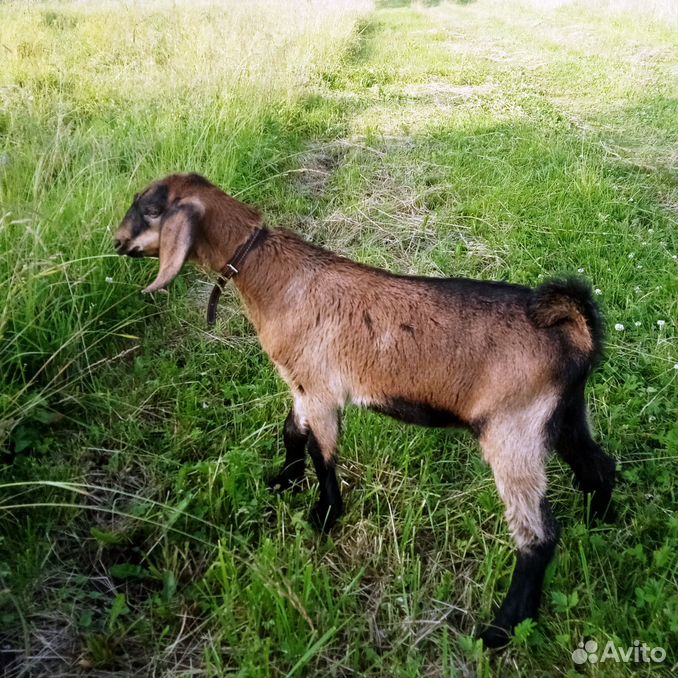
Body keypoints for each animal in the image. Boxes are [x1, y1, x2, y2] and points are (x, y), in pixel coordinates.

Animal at [115, 174, 616, 648]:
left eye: (152, 209)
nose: (118, 242)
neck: (276, 279)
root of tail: (574, 332)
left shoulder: (320, 388)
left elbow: (323, 454)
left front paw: (323, 517)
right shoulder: (301, 387)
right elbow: (291, 433)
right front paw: (283, 482)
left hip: (512, 430)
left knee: (538, 535)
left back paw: (502, 629)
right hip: (562, 416)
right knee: (599, 464)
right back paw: (601, 523)